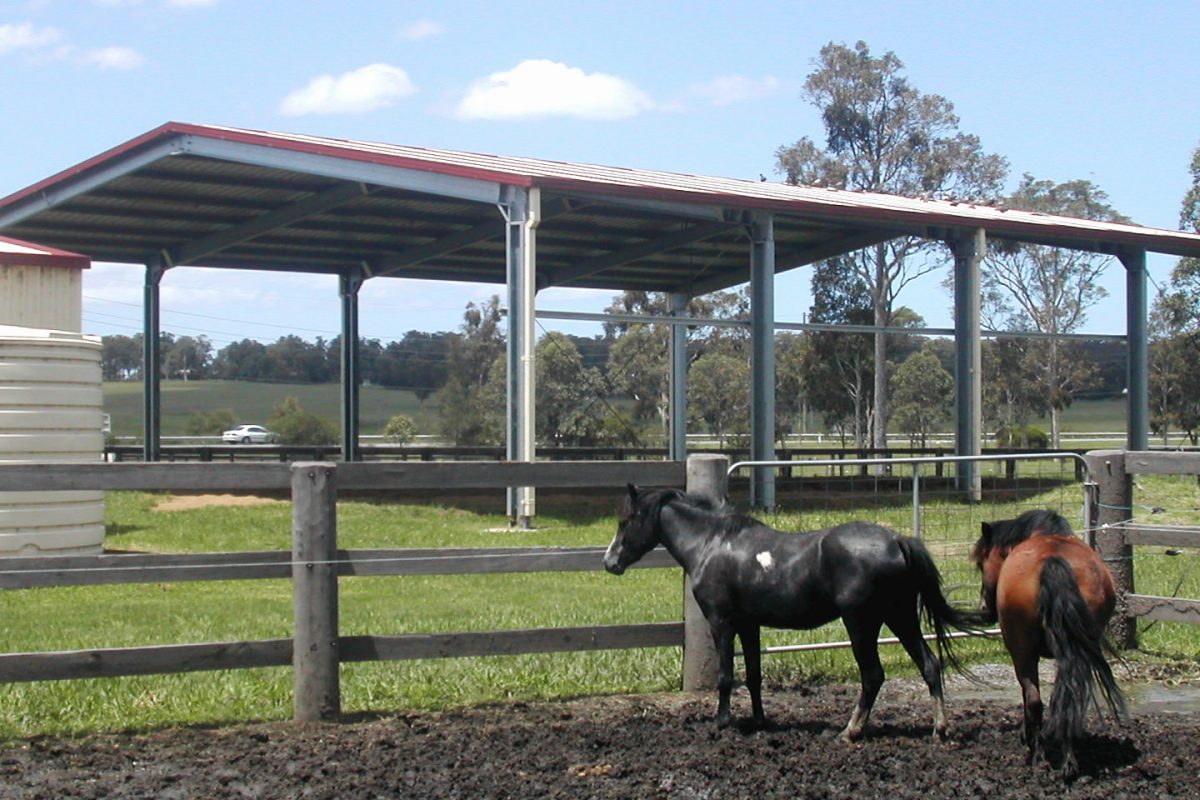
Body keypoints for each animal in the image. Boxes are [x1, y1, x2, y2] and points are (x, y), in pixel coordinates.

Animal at [604, 484, 985, 742]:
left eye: (625, 520)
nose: (609, 562)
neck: (712, 544)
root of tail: (896, 541)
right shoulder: (750, 625)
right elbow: (753, 675)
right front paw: (759, 721)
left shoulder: (722, 622)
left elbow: (726, 675)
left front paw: (721, 723)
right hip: (900, 617)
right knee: (930, 665)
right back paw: (940, 728)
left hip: (861, 623)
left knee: (873, 676)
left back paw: (850, 731)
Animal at [971, 509, 1127, 781]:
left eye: (982, 564)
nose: (983, 608)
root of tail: (1053, 560)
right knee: (1067, 697)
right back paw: (1068, 761)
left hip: (1021, 652)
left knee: (1034, 699)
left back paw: (1035, 753)